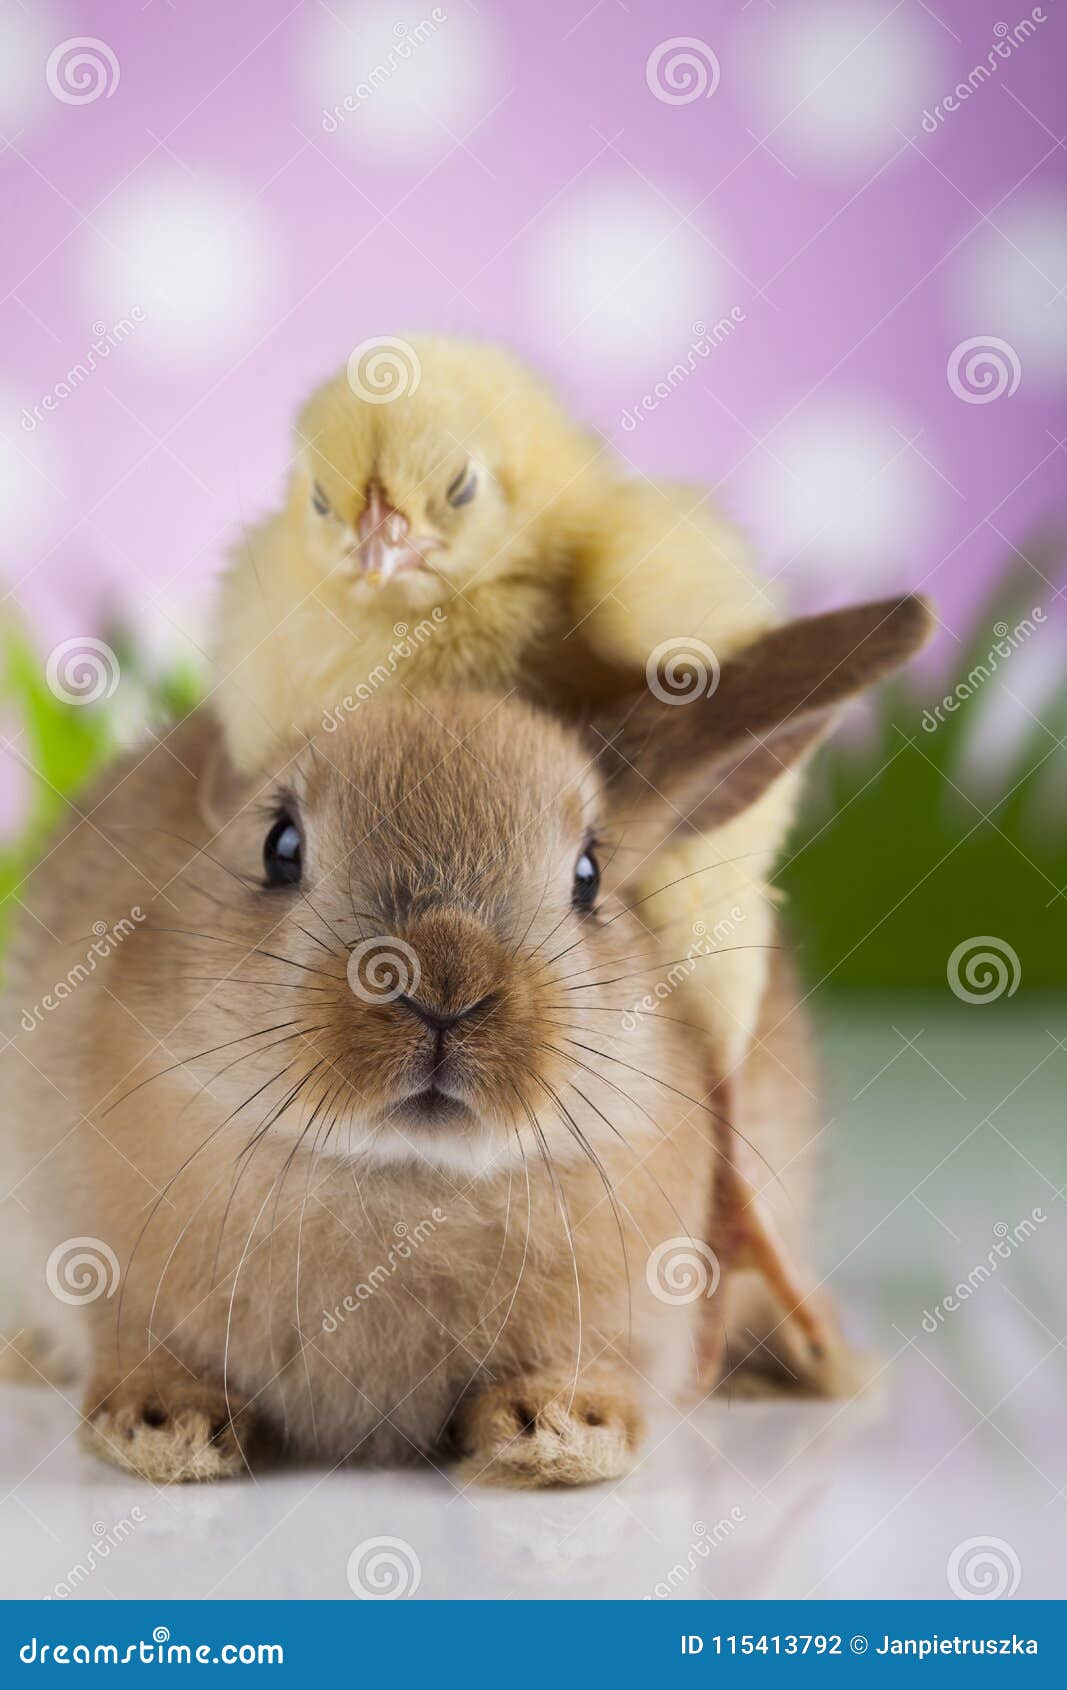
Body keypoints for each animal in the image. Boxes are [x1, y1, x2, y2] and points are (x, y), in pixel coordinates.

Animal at [0, 594, 932, 1487]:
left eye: (589, 876)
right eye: (280, 846)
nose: (446, 985)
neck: (411, 1185)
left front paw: (562, 1433)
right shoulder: (108, 1284)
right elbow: (140, 1354)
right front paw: (164, 1428)